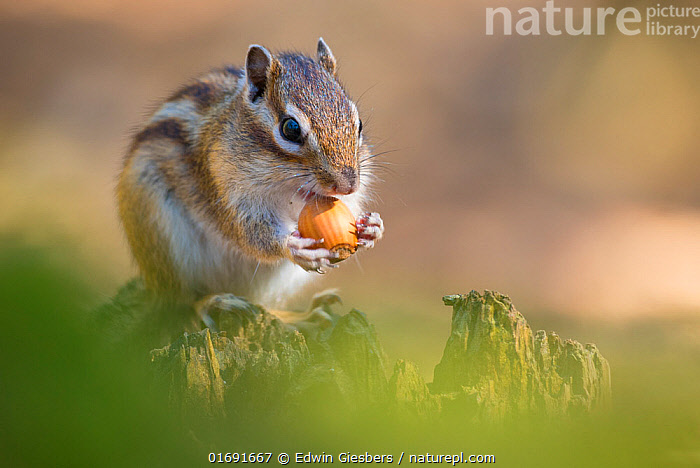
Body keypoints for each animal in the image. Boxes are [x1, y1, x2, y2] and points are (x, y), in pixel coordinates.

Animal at [116, 38, 384, 329]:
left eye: (358, 124)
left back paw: (301, 317)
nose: (347, 186)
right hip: (162, 240)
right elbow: (248, 232)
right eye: (290, 128)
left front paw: (372, 227)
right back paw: (216, 303)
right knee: (181, 303)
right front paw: (292, 246)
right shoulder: (224, 188)